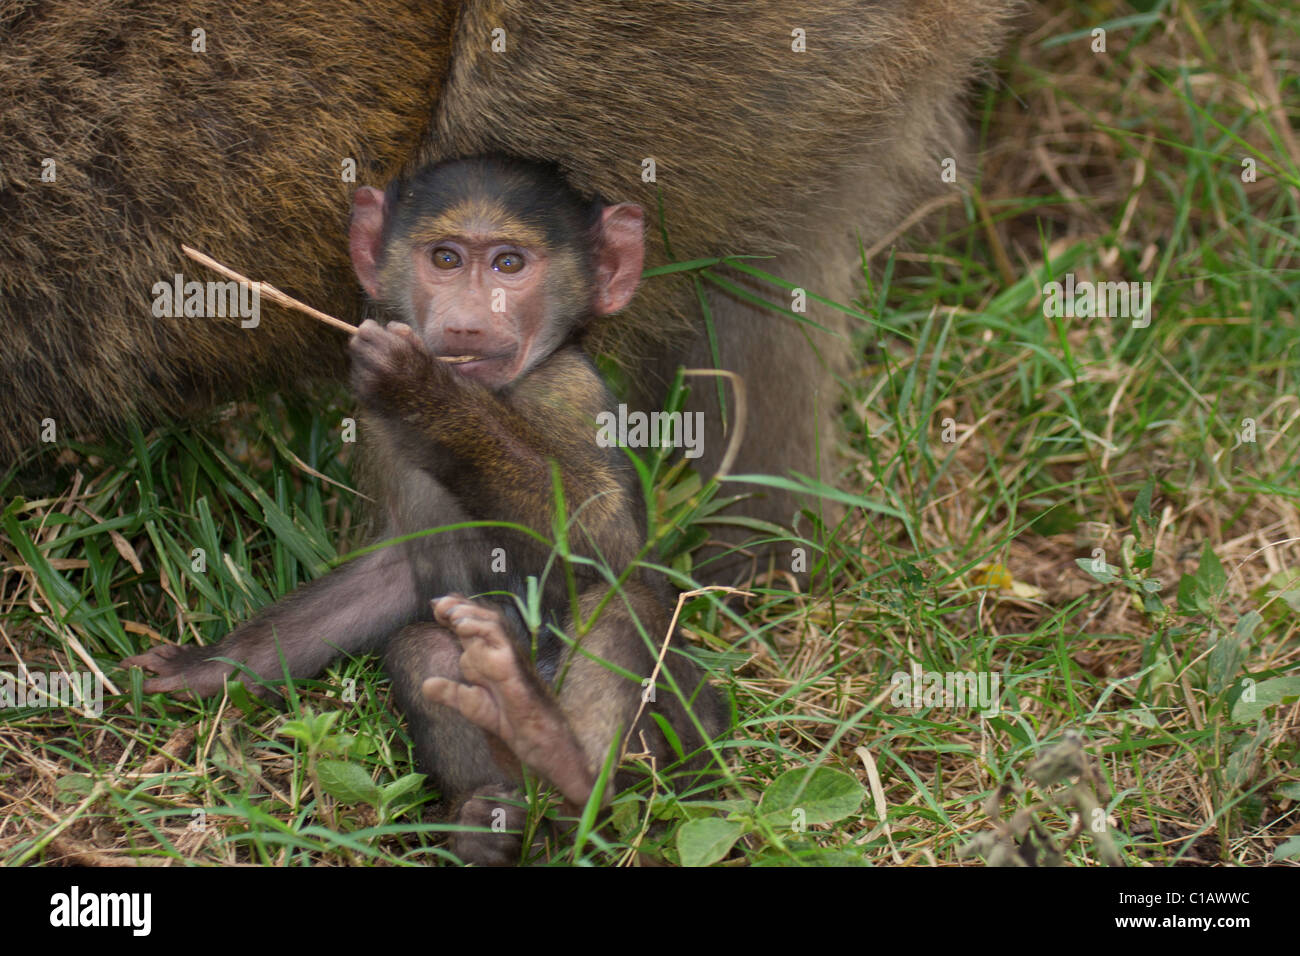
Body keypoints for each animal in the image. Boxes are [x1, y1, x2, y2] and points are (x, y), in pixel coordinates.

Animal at [125, 156, 728, 864]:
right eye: (445, 258)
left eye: (509, 264)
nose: (466, 323)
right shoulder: (382, 440)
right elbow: (394, 580)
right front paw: (207, 670)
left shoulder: (568, 392)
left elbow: (607, 543)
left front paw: (428, 397)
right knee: (425, 645)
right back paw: (493, 810)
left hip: (696, 751)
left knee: (620, 607)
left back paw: (572, 769)